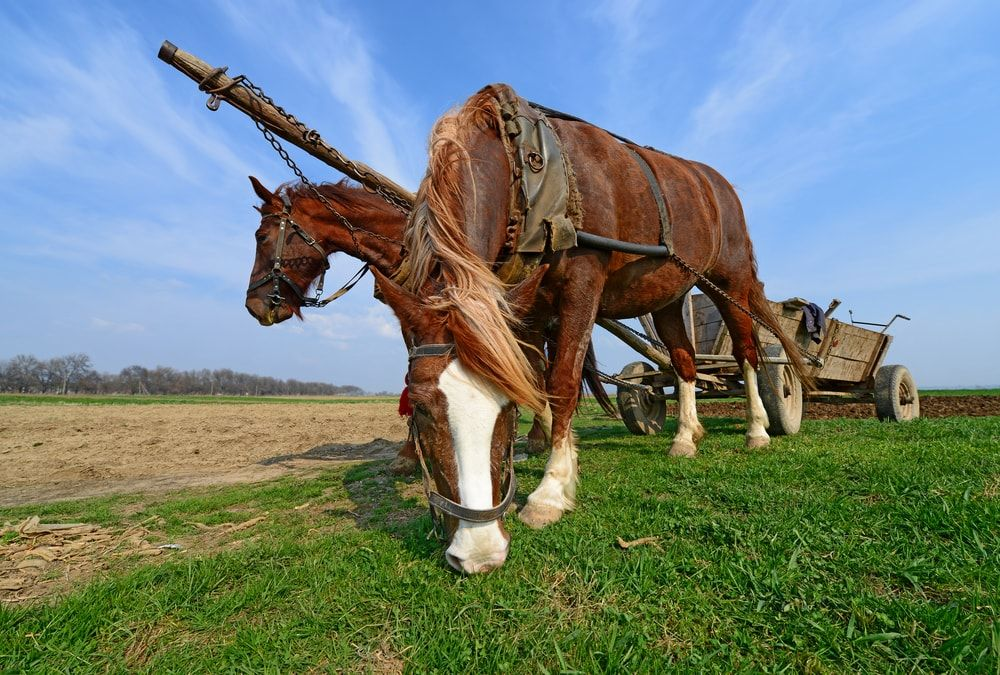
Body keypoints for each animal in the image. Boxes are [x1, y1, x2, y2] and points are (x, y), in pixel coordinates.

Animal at [372, 82, 808, 572]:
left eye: (505, 409)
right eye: (420, 408)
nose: (479, 552)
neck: (524, 168)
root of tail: (718, 185)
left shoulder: (583, 280)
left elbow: (560, 380)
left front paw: (550, 490)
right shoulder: (523, 304)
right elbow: (534, 378)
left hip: (729, 280)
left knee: (747, 352)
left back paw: (757, 430)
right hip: (670, 294)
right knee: (684, 361)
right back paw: (686, 436)